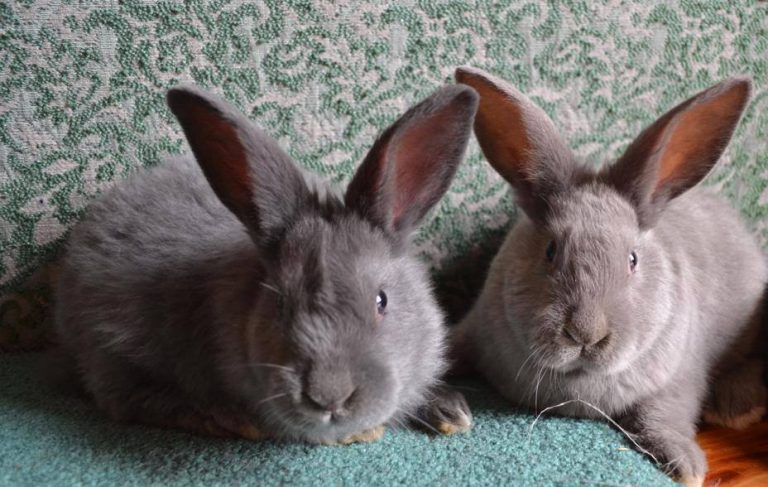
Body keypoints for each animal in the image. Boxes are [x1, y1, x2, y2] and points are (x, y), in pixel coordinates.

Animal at [53, 83, 479, 445]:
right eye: (280, 305)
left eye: (382, 300)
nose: (329, 396)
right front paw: (360, 432)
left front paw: (451, 412)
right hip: (112, 346)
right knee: (126, 397)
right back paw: (222, 417)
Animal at [452, 66, 767, 486]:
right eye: (550, 250)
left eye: (632, 259)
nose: (585, 333)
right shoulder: (473, 332)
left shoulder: (681, 376)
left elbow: (663, 414)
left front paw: (686, 465)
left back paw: (735, 407)